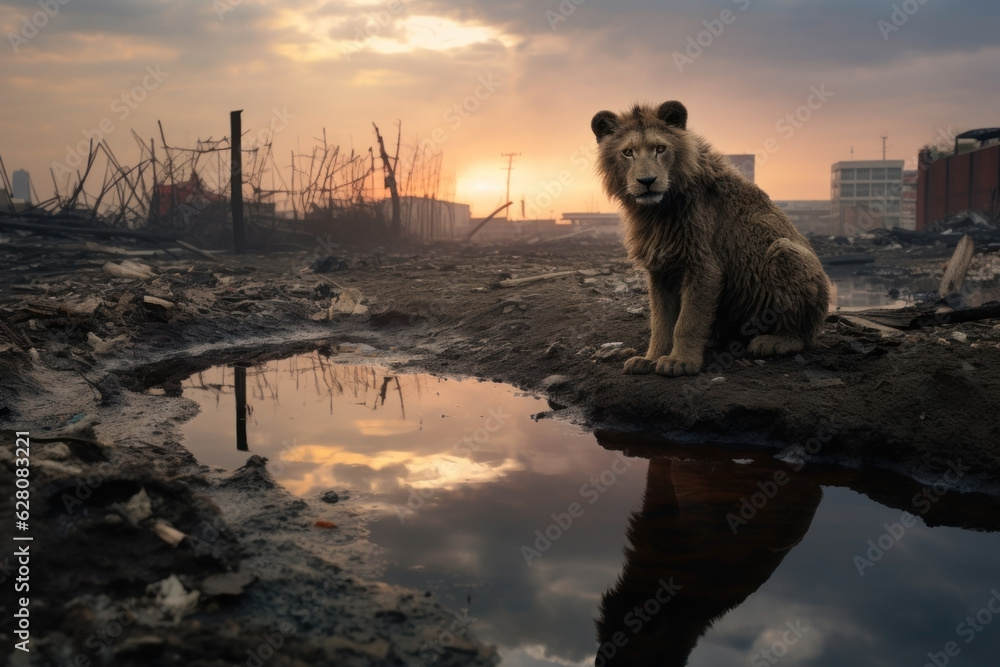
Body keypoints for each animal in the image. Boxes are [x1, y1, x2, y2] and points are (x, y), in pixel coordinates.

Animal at [591, 101, 830, 377]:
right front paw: (650, 358)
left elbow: (688, 321)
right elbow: (660, 322)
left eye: (660, 149)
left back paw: (774, 341)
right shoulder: (660, 268)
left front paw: (680, 361)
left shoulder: (703, 265)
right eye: (627, 152)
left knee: (803, 336)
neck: (658, 210)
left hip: (785, 251)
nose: (647, 181)